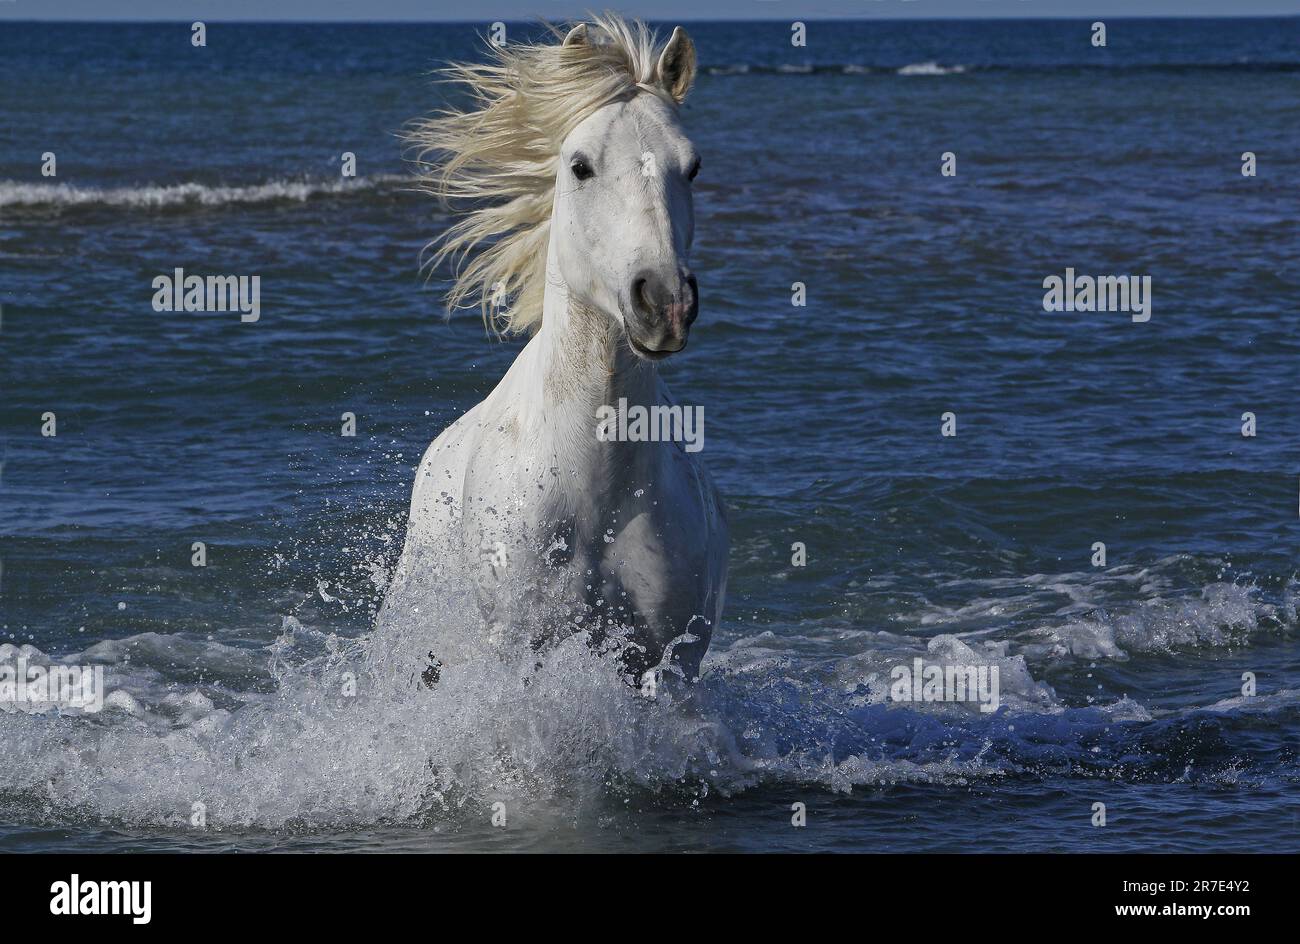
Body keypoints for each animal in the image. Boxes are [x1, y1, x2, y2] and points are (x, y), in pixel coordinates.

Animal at [381, 15, 728, 688]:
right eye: (580, 166)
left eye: (693, 167)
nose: (664, 302)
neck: (597, 490)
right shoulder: (518, 647)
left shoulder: (668, 662)